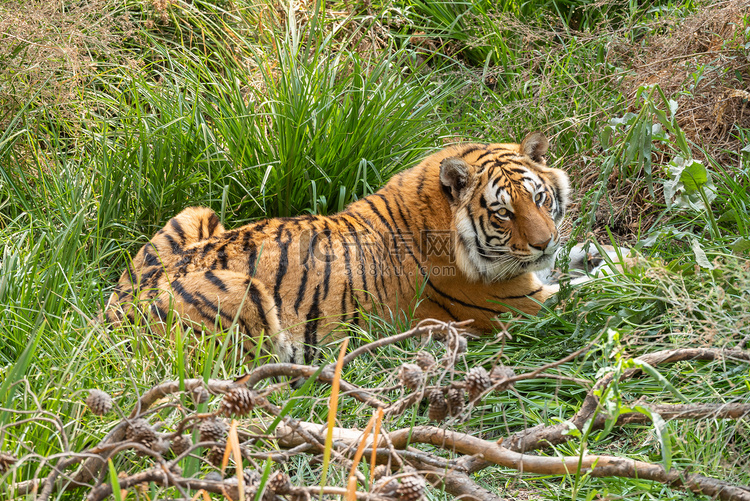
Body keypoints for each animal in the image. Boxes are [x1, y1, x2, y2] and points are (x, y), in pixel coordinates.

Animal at [105, 132, 618, 365]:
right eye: (503, 213)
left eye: (539, 198)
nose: (543, 241)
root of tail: (105, 323)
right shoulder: (520, 304)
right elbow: (593, 290)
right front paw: (633, 272)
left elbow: (586, 260)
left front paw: (605, 254)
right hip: (241, 293)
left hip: (196, 214)